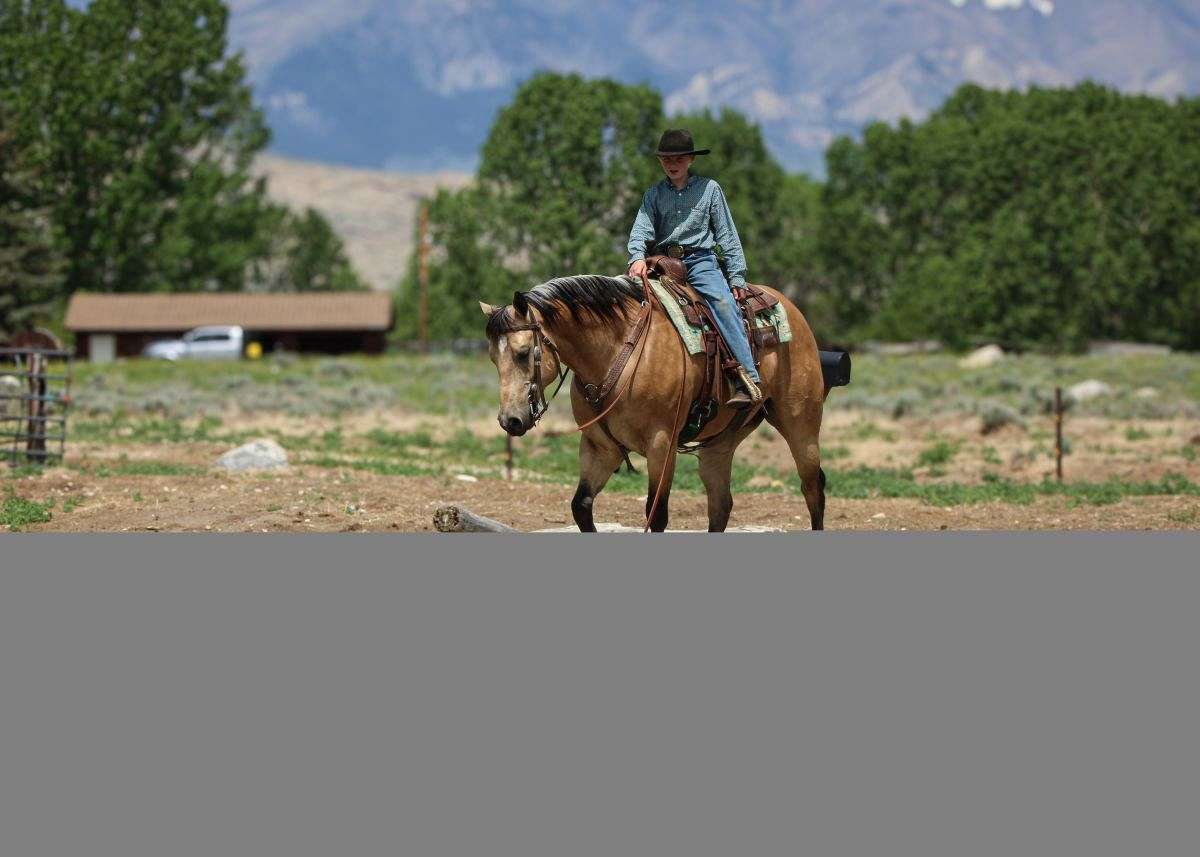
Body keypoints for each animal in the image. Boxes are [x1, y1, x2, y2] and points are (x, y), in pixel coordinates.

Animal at [481, 273, 827, 533]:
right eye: (493, 358)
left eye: (523, 353)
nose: (510, 420)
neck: (620, 353)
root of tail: (790, 309)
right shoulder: (599, 448)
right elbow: (581, 506)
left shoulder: (662, 443)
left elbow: (655, 515)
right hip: (720, 444)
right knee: (720, 503)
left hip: (801, 425)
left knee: (813, 489)